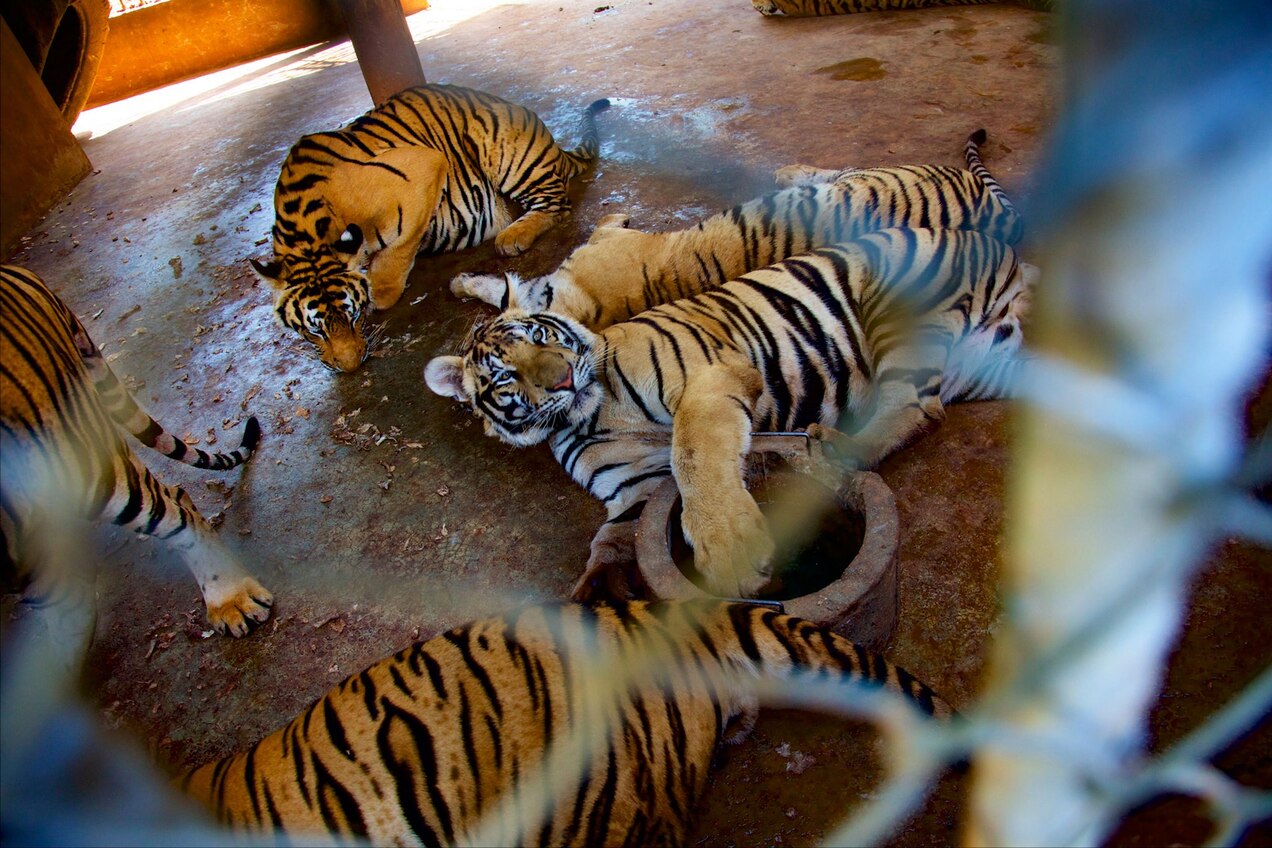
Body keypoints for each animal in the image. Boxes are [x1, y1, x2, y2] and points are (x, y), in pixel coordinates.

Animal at [251, 83, 610, 373]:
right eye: (315, 330)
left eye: (353, 316)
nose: (351, 367)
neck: (306, 233)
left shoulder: (425, 167)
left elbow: (395, 257)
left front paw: (381, 287)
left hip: (504, 149)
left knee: (556, 204)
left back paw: (512, 235)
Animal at [427, 228, 1036, 599]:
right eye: (504, 376)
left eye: (539, 335)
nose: (562, 379)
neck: (589, 414)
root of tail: (998, 246)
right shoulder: (635, 485)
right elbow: (615, 537)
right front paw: (598, 591)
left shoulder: (709, 375)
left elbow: (693, 453)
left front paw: (732, 553)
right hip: (993, 366)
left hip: (896, 311)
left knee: (916, 403)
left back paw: (838, 446)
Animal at [450, 128, 1022, 331]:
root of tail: (1001, 216)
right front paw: (463, 282)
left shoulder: (601, 246)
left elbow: (601, 228)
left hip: (874, 175)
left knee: (833, 170)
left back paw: (787, 171)